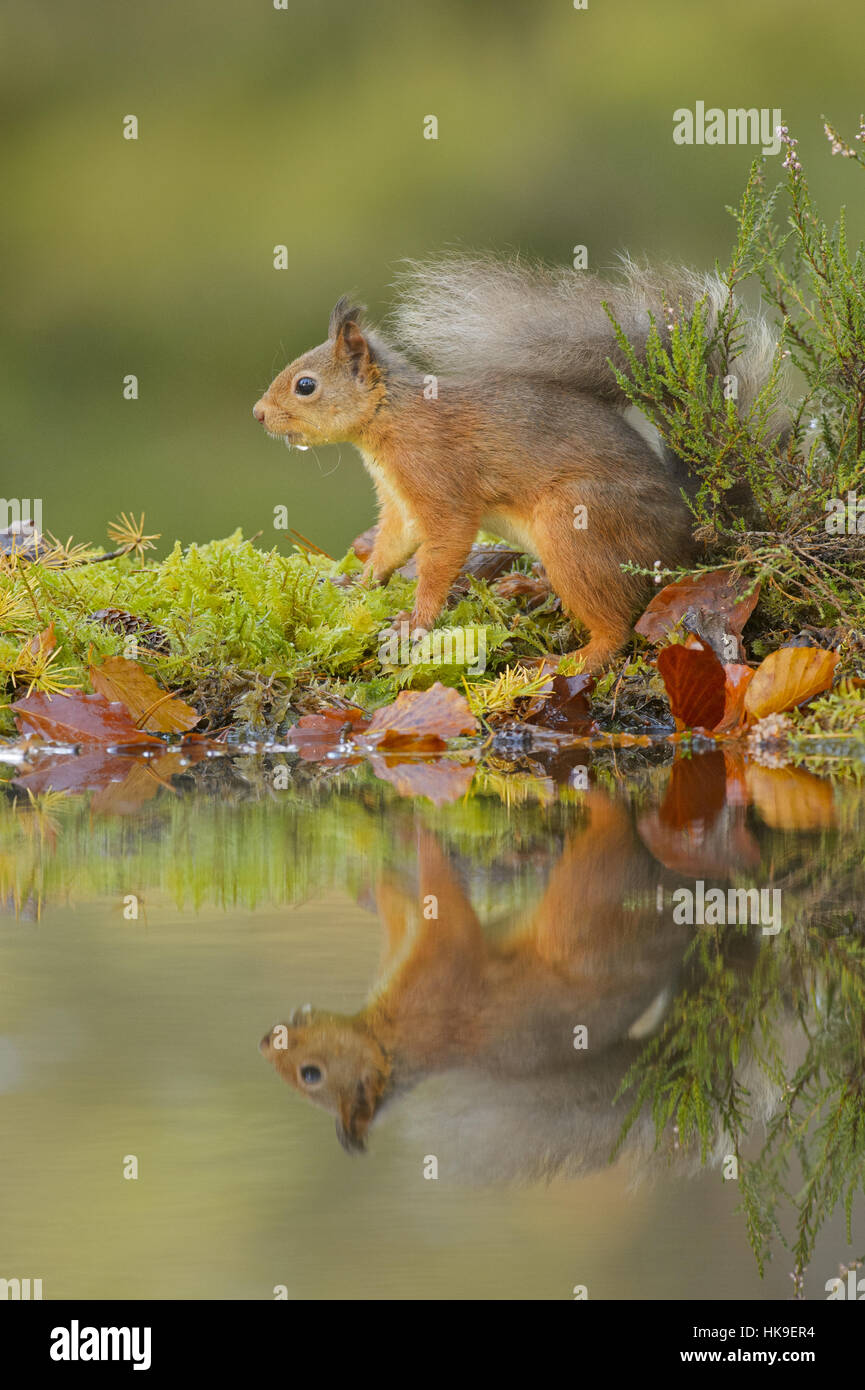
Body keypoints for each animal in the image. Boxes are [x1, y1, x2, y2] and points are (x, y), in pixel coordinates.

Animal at [253, 257, 784, 669]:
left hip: (576, 523)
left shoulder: (438, 481)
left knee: (617, 627)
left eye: (305, 385)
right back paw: (527, 587)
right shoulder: (400, 503)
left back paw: (571, 660)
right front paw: (356, 586)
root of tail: (689, 527)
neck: (392, 417)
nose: (258, 414)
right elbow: (390, 547)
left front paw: (413, 622)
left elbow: (442, 548)